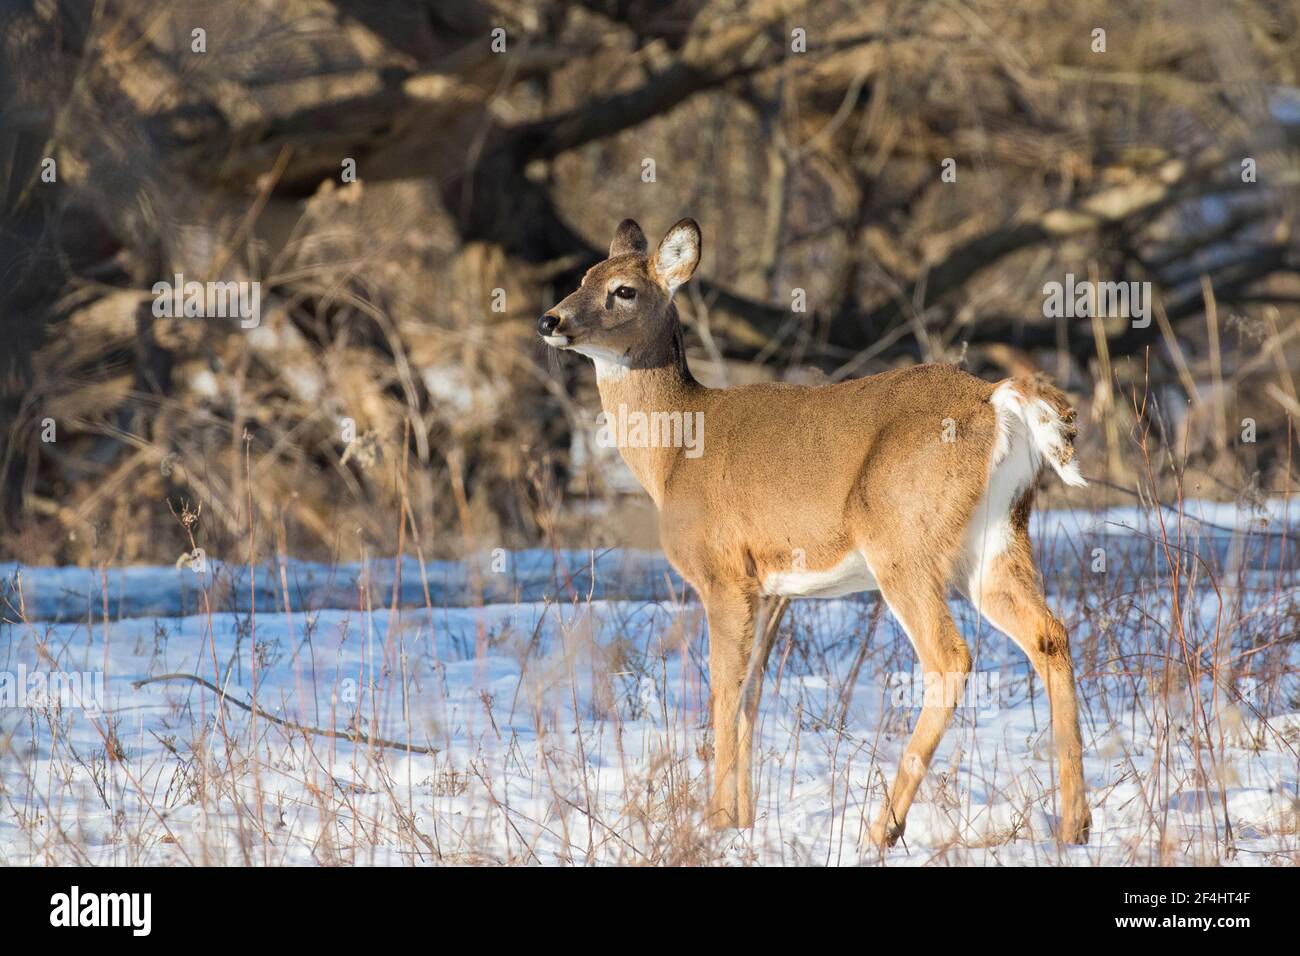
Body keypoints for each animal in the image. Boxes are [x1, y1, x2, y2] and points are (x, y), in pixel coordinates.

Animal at [538, 217, 1092, 848]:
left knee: (949, 657)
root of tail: (996, 400)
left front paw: (716, 824)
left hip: (901, 542)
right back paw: (1074, 826)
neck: (673, 453)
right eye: (583, 278)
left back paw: (881, 829)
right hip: (997, 540)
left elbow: (723, 689)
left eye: (624, 290)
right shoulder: (772, 588)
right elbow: (752, 692)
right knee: (1050, 634)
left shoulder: (723, 572)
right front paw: (743, 825)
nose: (550, 320)